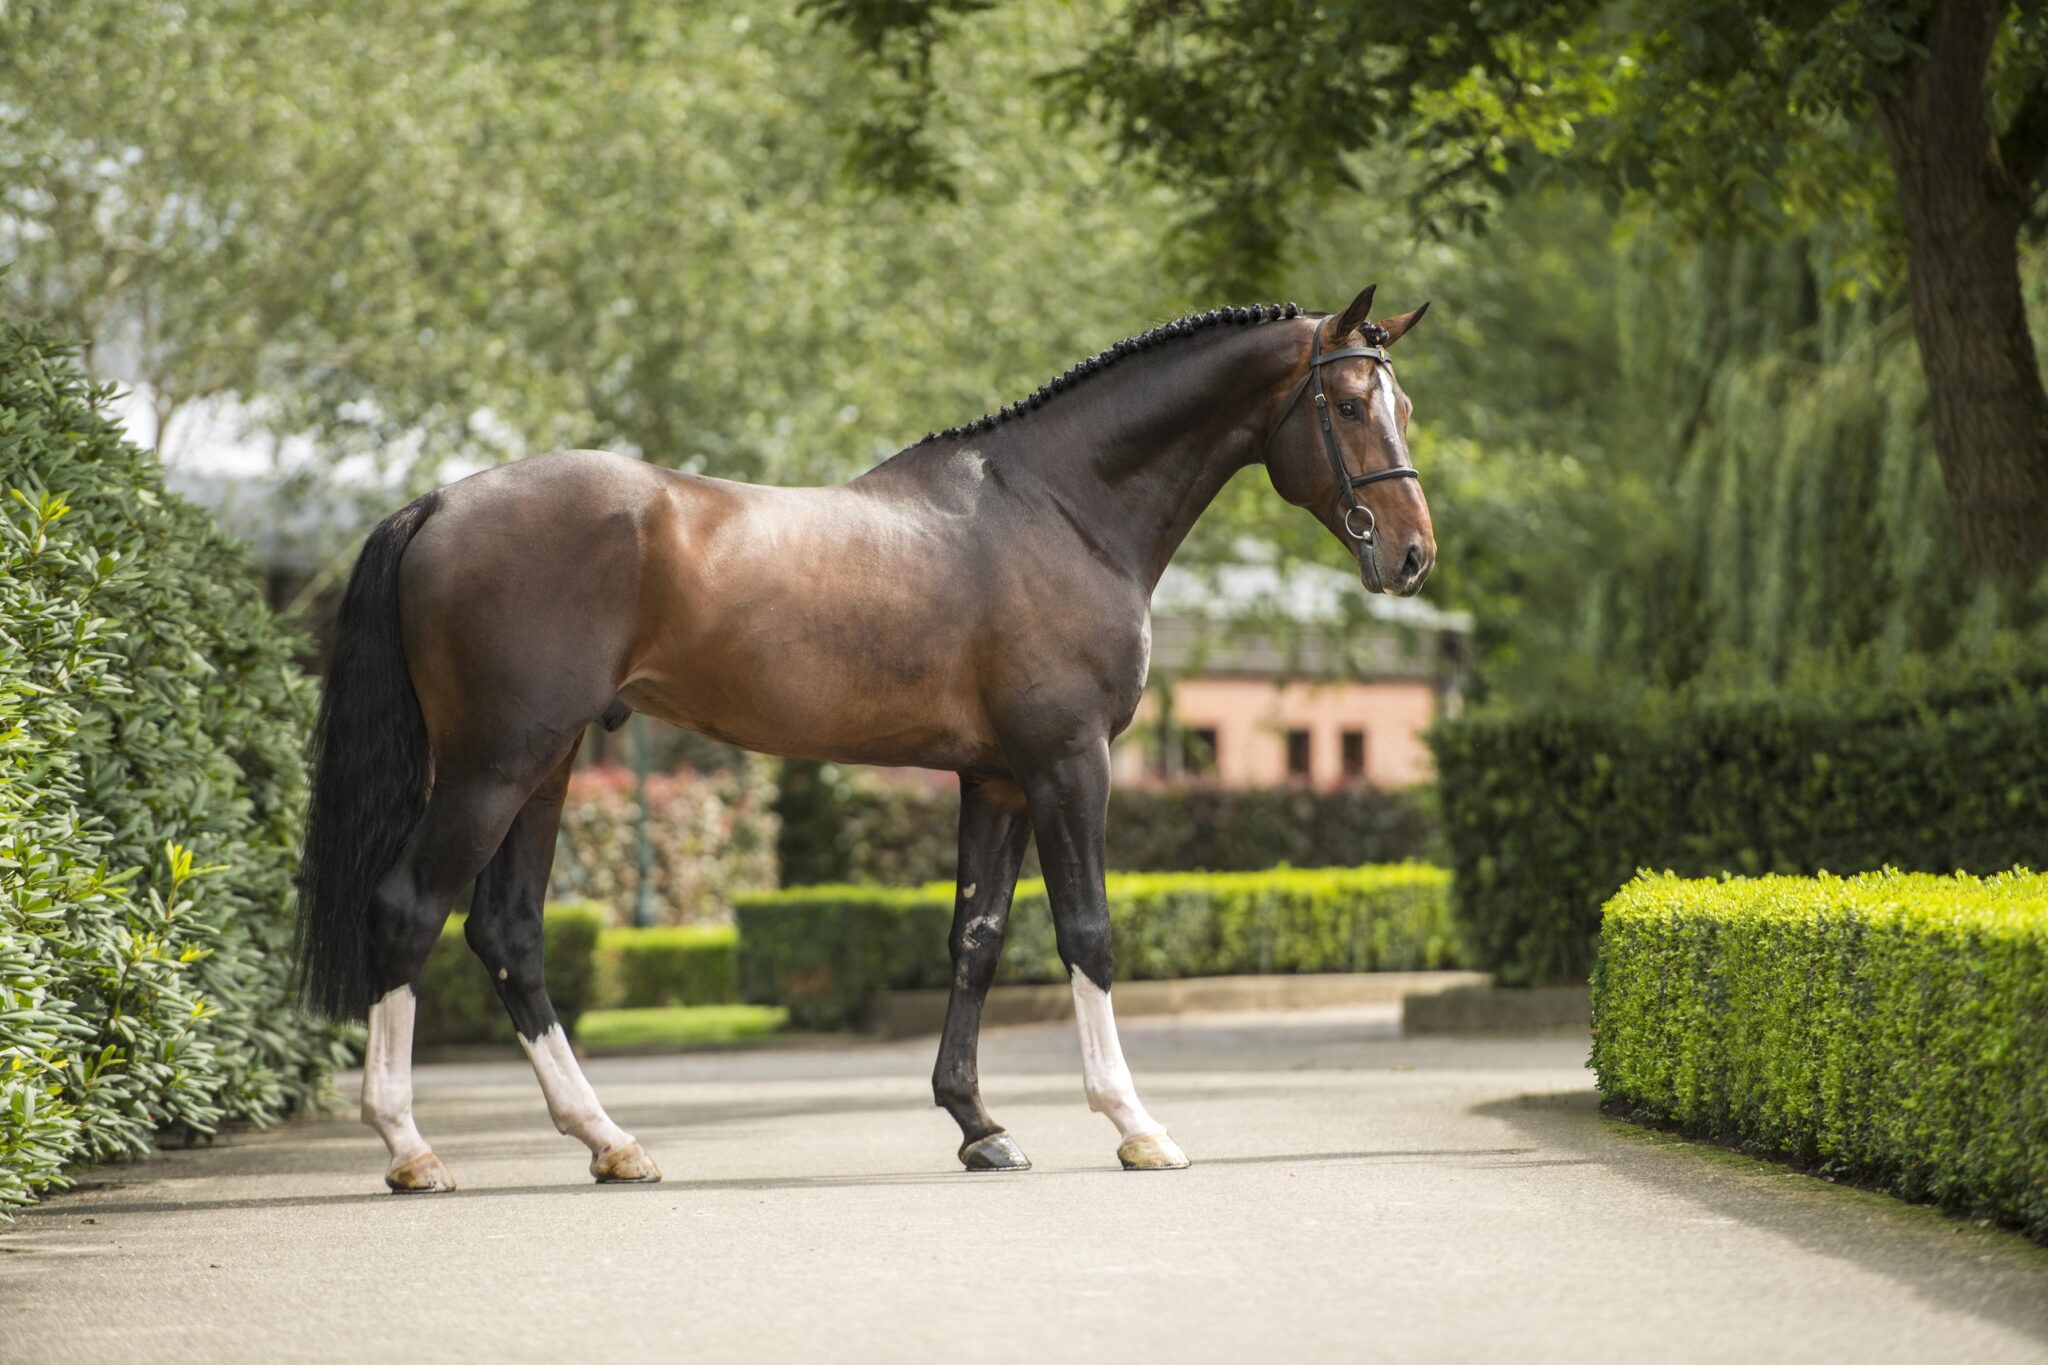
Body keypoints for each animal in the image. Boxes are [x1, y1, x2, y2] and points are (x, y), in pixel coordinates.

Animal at [295, 285, 1434, 1192]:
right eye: (1344, 405)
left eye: (1405, 406)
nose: (1413, 555)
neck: (1058, 507)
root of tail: (440, 503)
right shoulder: (1069, 761)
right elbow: (1087, 932)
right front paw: (1135, 1125)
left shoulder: (996, 778)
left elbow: (976, 939)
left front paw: (979, 1128)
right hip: (493, 766)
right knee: (408, 911)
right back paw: (410, 1147)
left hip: (546, 765)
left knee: (510, 936)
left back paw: (610, 1141)